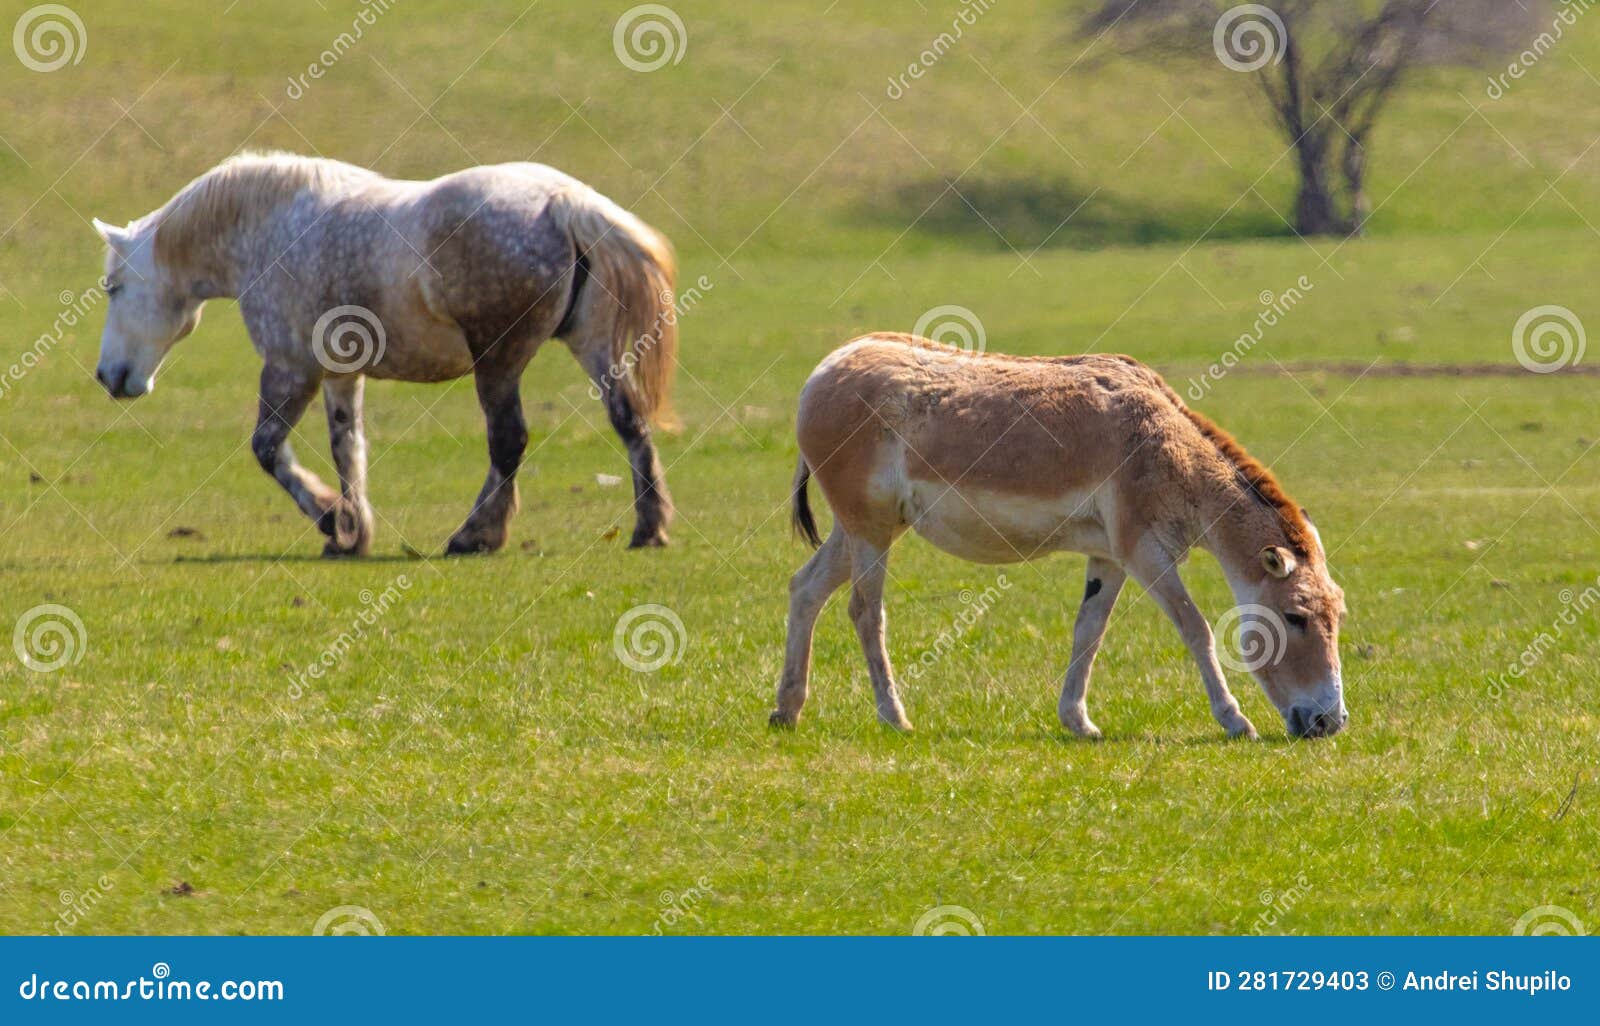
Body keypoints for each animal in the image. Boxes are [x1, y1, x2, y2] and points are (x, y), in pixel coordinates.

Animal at [91, 152, 677, 556]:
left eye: (112, 287)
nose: (105, 376)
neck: (266, 229)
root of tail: (560, 202)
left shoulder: (289, 369)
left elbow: (268, 449)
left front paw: (332, 520)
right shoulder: (339, 375)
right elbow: (348, 449)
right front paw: (352, 532)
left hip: (498, 362)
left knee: (508, 441)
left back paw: (475, 534)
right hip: (591, 347)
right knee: (628, 422)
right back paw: (649, 526)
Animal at [773, 333, 1349, 741]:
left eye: (1338, 616)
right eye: (1294, 617)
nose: (1331, 723)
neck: (1168, 450)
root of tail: (826, 367)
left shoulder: (1110, 558)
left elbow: (1089, 631)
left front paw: (1077, 720)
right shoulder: (1145, 552)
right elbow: (1196, 629)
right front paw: (1234, 720)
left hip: (865, 527)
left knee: (805, 588)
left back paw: (787, 708)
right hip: (869, 529)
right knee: (865, 612)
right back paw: (893, 716)